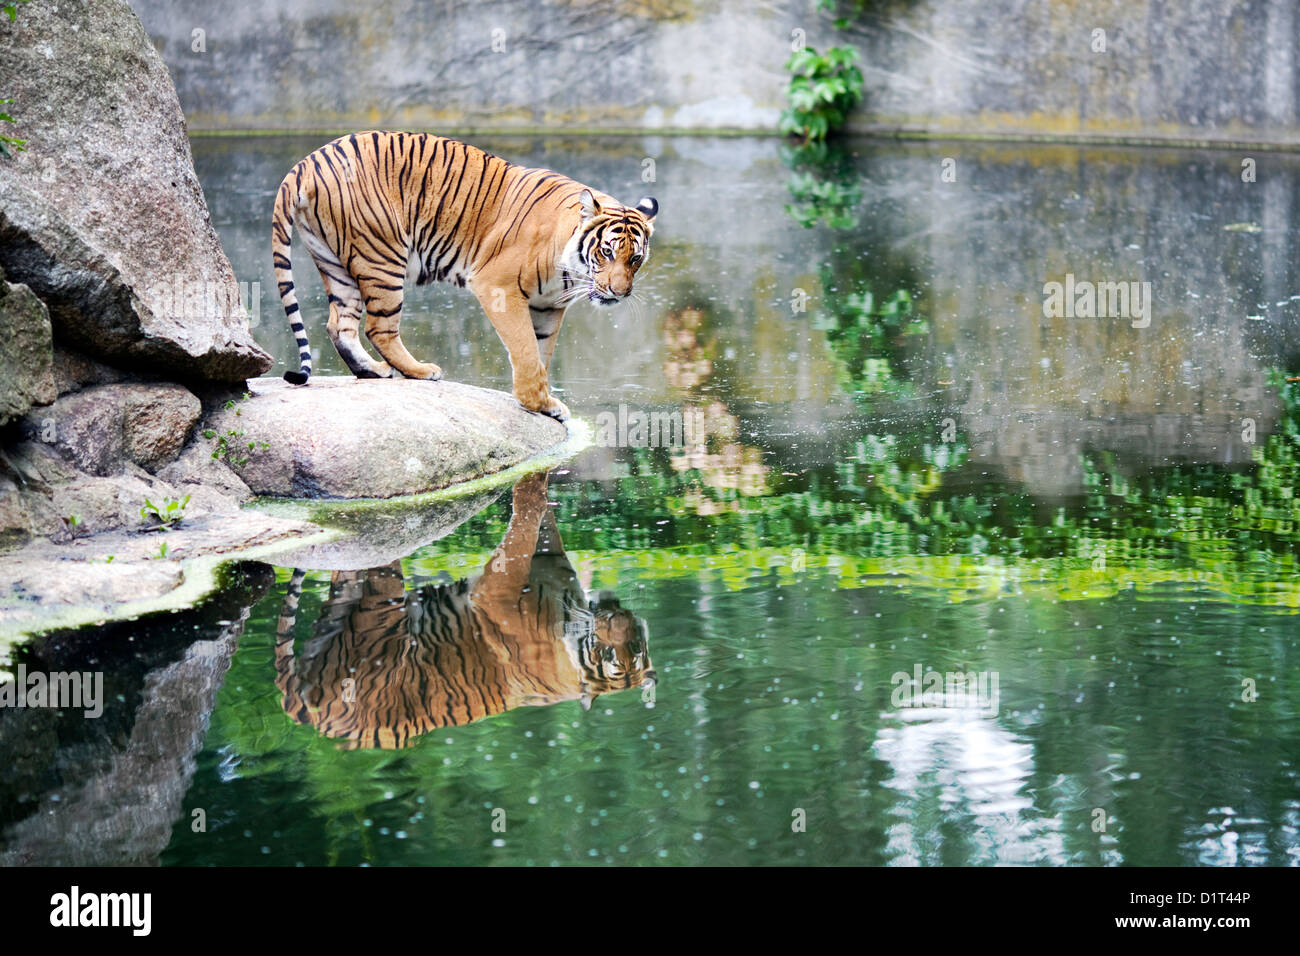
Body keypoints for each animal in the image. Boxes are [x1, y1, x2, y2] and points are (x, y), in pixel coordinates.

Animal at [271, 131, 658, 421]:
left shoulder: (548, 307)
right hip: (382, 255)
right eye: (606, 252)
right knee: (378, 327)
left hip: (335, 262)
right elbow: (525, 350)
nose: (618, 292)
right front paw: (536, 402)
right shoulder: (498, 287)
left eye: (635, 259)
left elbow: (541, 353)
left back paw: (374, 371)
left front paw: (544, 402)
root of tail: (305, 163)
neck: (567, 266)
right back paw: (421, 370)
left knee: (340, 325)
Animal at [272, 472, 655, 749]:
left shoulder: (551, 558)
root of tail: (314, 720)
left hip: (345, 612)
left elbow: (542, 520)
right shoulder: (497, 592)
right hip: (381, 610)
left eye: (636, 647)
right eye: (607, 655)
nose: (621, 618)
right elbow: (526, 519)